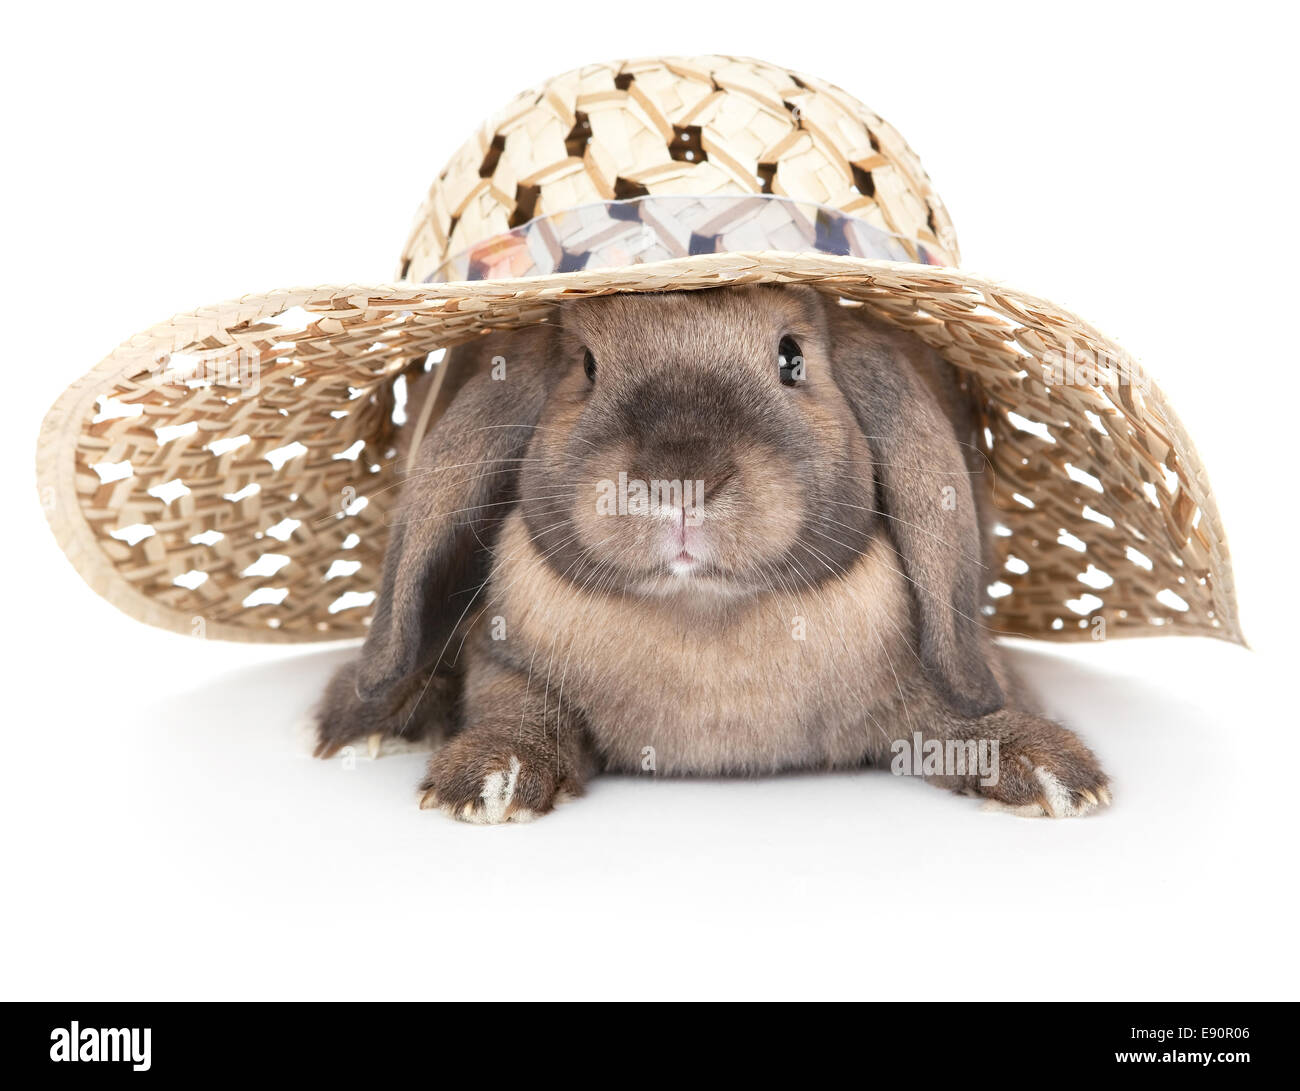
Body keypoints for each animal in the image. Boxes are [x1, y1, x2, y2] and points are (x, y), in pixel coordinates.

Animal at [313, 284, 1110, 822]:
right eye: (587, 366)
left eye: (792, 358)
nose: (681, 481)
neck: (704, 619)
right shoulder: (504, 662)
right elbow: (515, 707)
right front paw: (488, 775)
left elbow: (956, 717)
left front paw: (1049, 768)